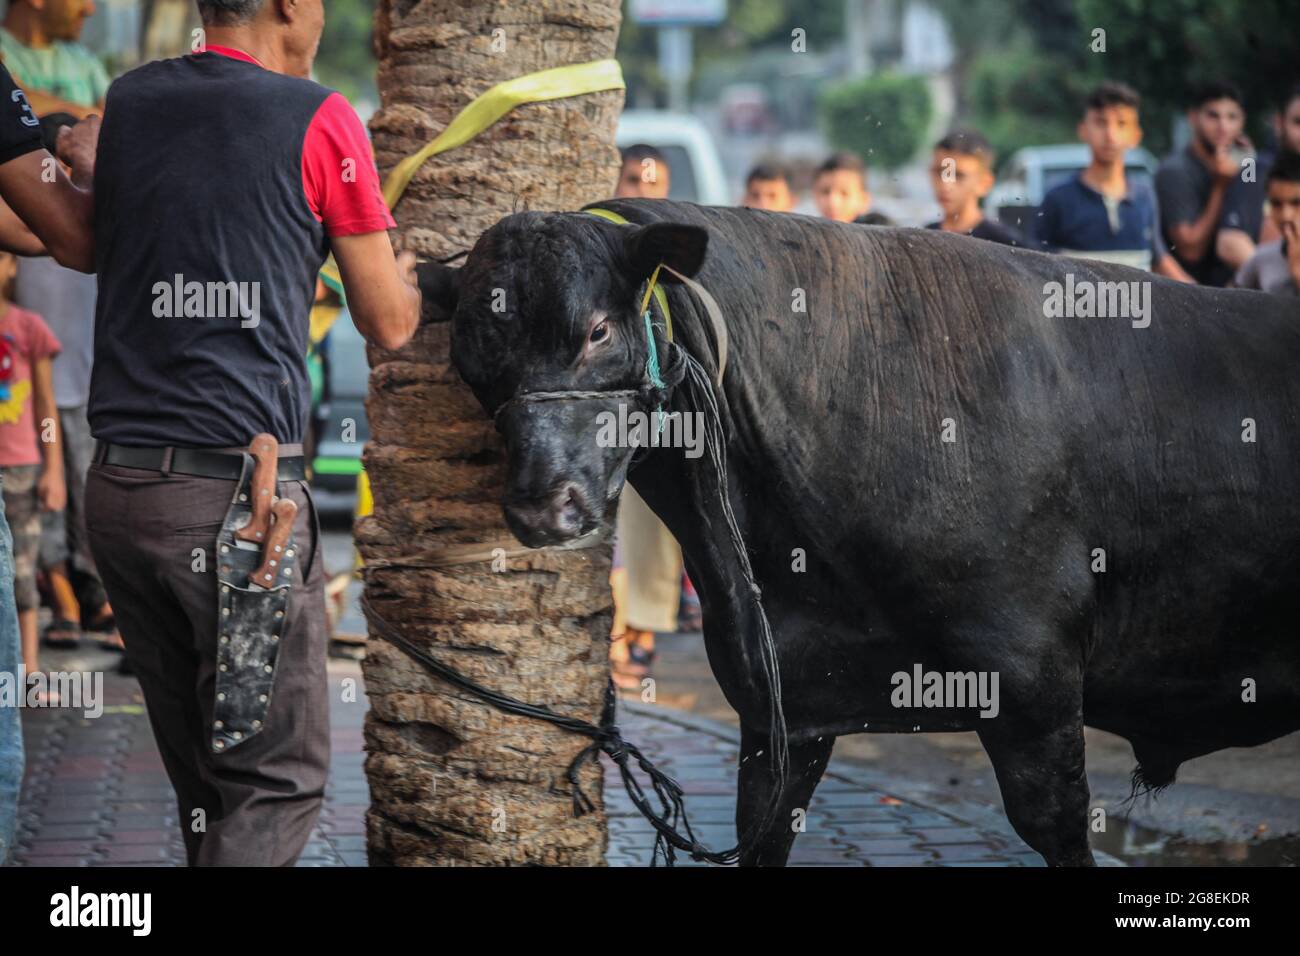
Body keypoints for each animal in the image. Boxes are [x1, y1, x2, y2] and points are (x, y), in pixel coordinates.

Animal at [418, 198, 1300, 866]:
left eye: (598, 329)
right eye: (470, 354)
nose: (545, 505)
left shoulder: (1034, 684)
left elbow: (1057, 828)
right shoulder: (784, 708)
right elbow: (762, 832)